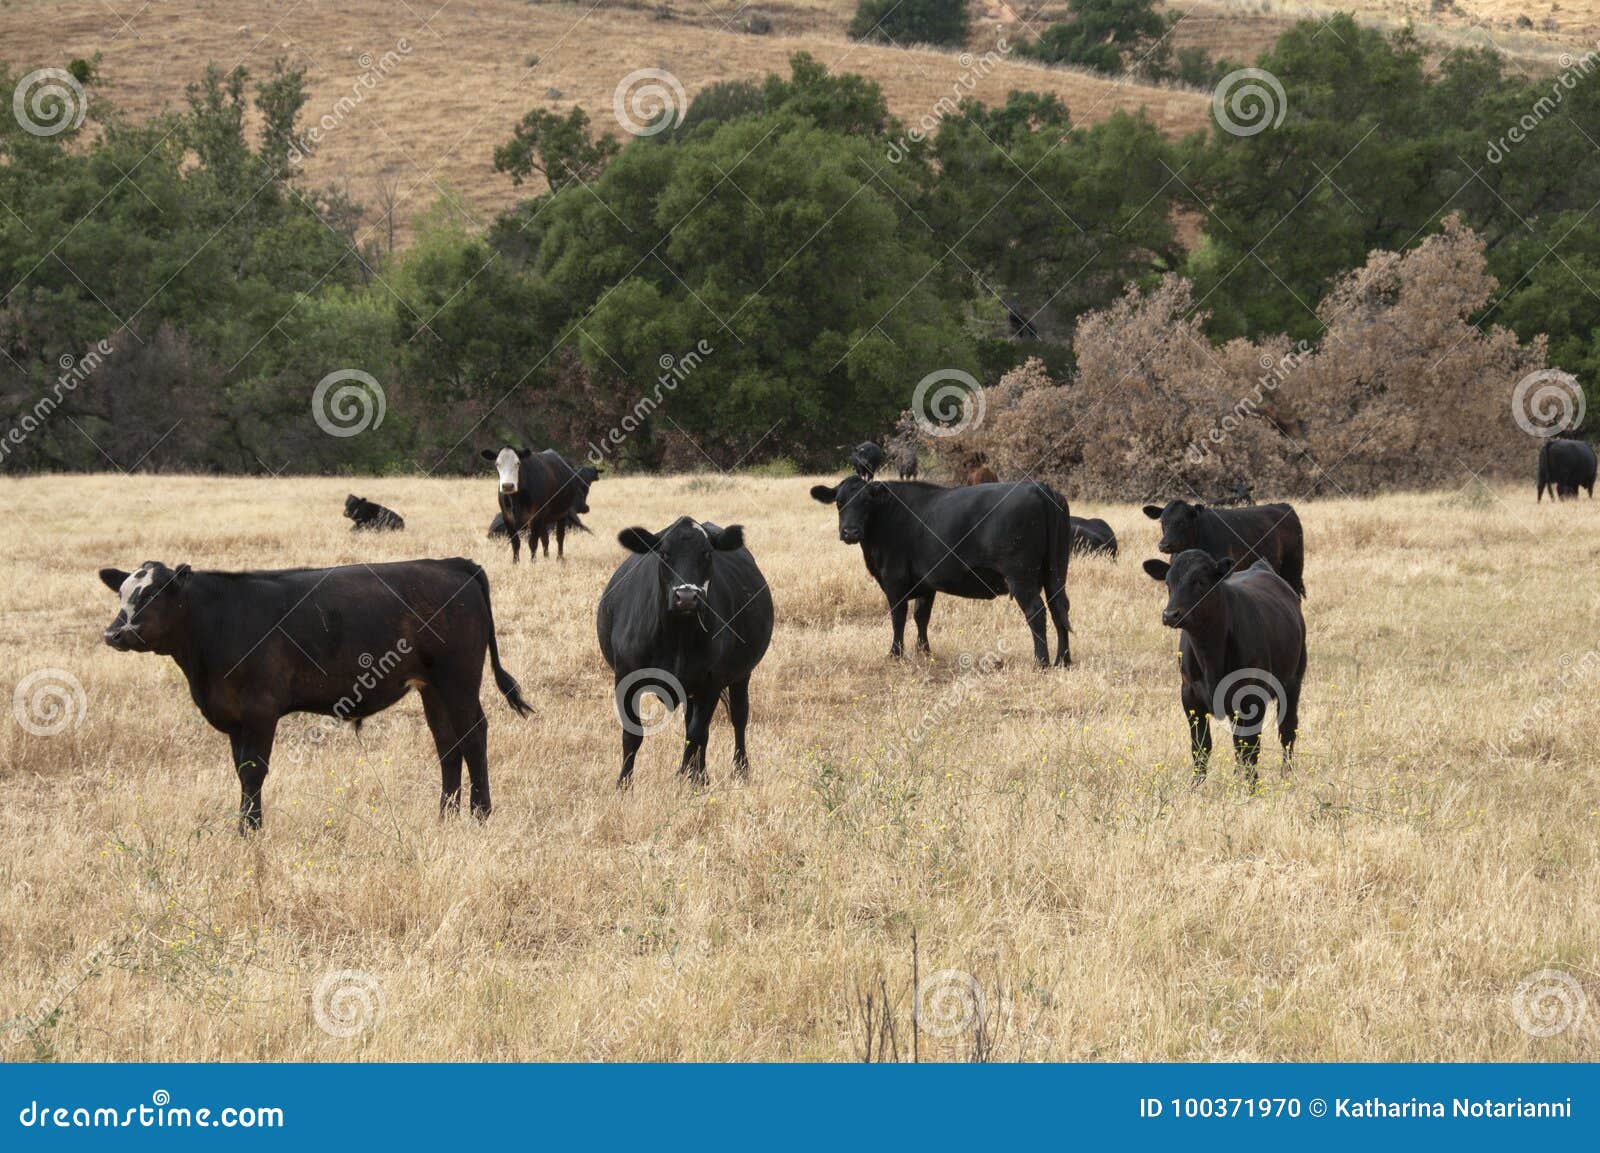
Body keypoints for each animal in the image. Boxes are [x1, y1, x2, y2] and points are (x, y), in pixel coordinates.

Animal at [98, 558, 532, 831]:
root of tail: (451, 564)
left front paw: (250, 832)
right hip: (434, 687)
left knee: (473, 735)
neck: (216, 621)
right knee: (447, 742)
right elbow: (242, 772)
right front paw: (247, 826)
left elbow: (253, 771)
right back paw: (445, 816)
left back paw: (480, 814)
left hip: (458, 679)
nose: (114, 633)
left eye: (151, 594)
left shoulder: (260, 710)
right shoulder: (235, 718)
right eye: (122, 594)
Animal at [597, 517, 773, 788]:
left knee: (737, 717)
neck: (677, 636)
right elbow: (632, 735)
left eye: (707, 553)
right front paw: (624, 784)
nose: (687, 596)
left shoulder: (711, 683)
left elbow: (696, 734)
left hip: (741, 675)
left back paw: (737, 770)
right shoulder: (626, 678)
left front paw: (686, 780)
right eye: (664, 553)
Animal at [810, 477, 1072, 667]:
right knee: (1059, 608)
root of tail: (1039, 487)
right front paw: (924, 651)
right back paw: (1063, 660)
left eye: (866, 502)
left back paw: (1041, 662)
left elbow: (898, 617)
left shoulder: (894, 580)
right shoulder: (926, 583)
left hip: (1020, 576)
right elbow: (921, 616)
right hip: (1056, 571)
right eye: (839, 502)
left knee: (1036, 611)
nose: (850, 532)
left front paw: (895, 653)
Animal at [1143, 551, 1306, 790]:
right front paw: (1196, 787)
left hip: (1293, 682)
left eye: (1200, 581)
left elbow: (1250, 747)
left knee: (1287, 730)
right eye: (1168, 582)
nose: (1171, 614)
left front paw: (1252, 789)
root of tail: (1260, 567)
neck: (1210, 655)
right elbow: (1201, 746)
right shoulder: (1189, 695)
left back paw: (1287, 775)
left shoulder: (1252, 697)